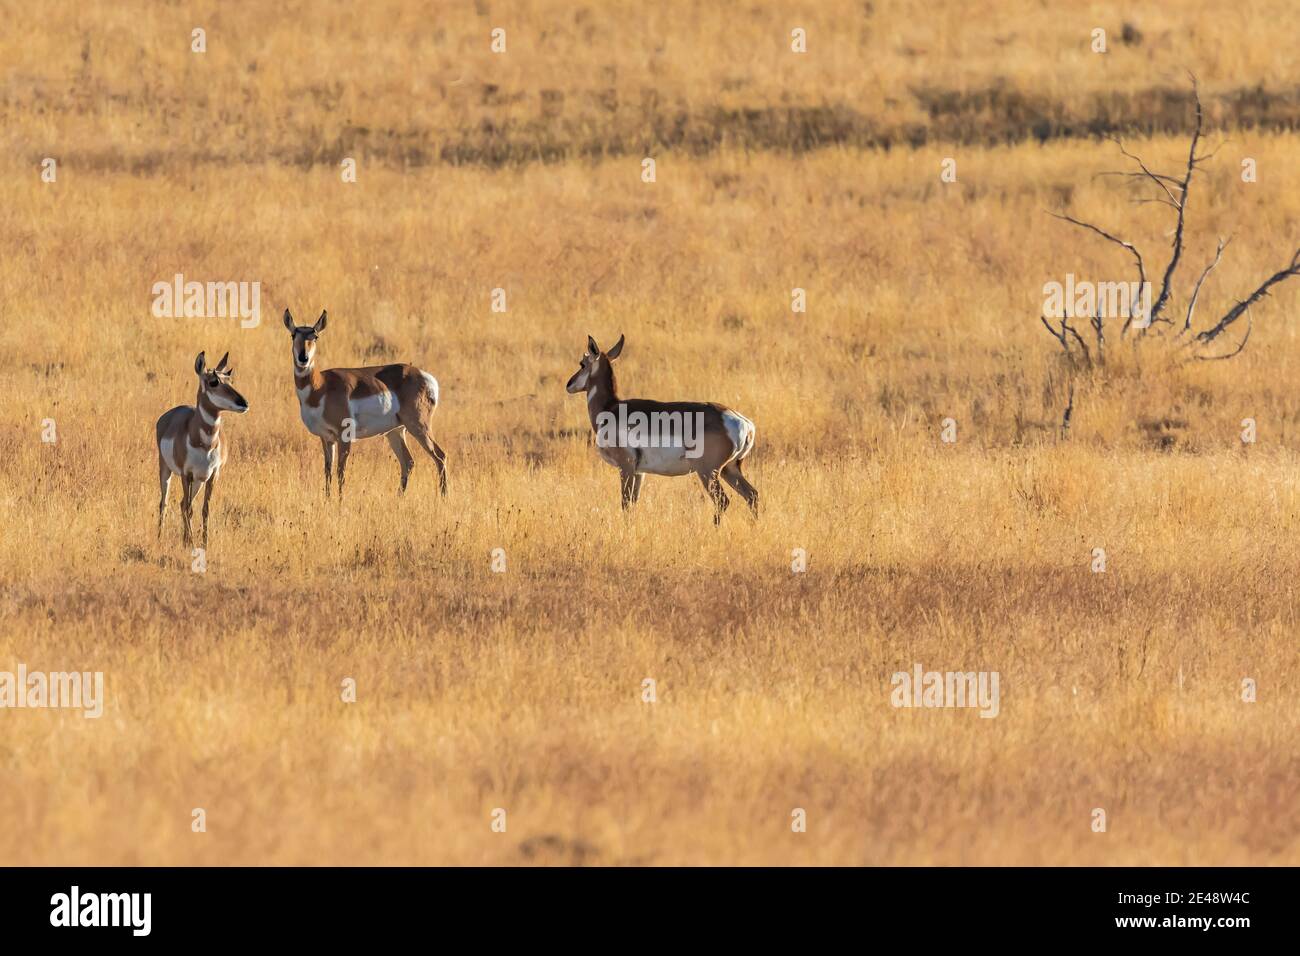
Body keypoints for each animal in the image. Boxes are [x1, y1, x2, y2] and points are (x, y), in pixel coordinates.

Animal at [155, 351, 249, 547]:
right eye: (214, 381)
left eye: (230, 379)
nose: (244, 403)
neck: (205, 443)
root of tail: (166, 417)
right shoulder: (186, 474)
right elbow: (189, 509)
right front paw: (192, 543)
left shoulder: (213, 475)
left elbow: (205, 509)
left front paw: (203, 543)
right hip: (166, 471)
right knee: (165, 503)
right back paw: (160, 537)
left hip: (199, 481)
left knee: (182, 503)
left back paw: (184, 539)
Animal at [283, 309, 447, 499]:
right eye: (293, 334)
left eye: (315, 336)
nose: (303, 358)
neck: (321, 386)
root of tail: (424, 375)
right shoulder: (326, 438)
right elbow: (327, 471)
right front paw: (327, 500)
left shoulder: (344, 437)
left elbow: (340, 472)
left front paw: (340, 501)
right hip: (396, 432)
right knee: (408, 462)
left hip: (418, 427)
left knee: (440, 456)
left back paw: (443, 498)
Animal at [566, 335, 757, 524]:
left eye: (582, 363)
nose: (568, 384)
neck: (611, 408)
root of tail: (742, 422)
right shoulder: (639, 472)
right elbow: (633, 504)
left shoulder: (625, 468)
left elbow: (625, 504)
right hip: (729, 470)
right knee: (752, 495)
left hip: (708, 472)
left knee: (723, 501)